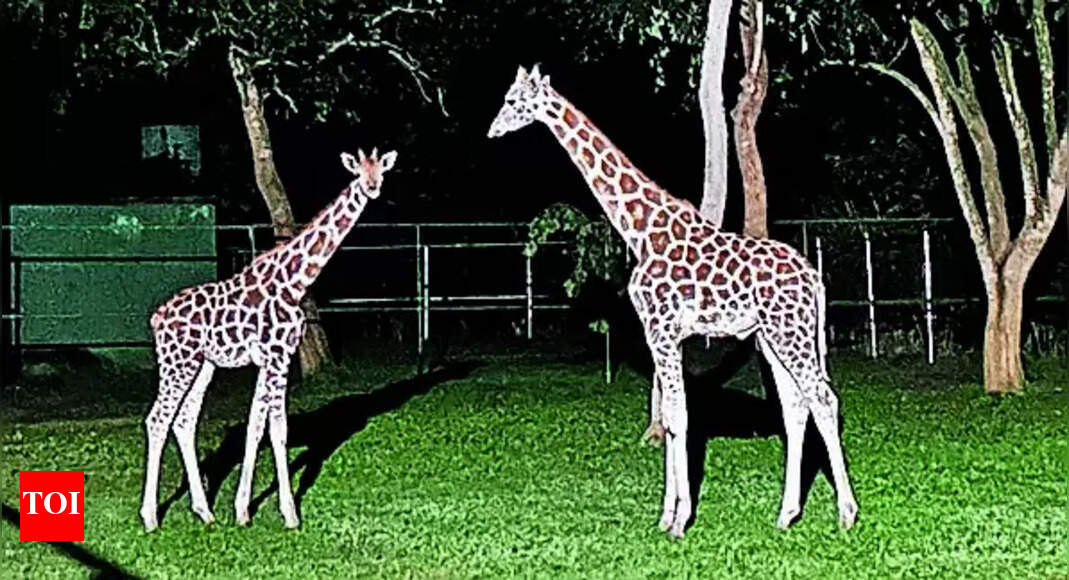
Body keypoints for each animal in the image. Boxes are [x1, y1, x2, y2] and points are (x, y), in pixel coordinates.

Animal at [140, 148, 398, 532]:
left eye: (381, 170)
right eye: (358, 171)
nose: (372, 187)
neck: (295, 282)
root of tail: (157, 318)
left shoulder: (273, 358)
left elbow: (257, 427)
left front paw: (242, 510)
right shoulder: (277, 356)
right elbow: (277, 430)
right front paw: (289, 514)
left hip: (203, 364)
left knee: (184, 421)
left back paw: (205, 512)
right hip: (177, 360)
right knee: (157, 419)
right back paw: (150, 518)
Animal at [488, 65, 857, 539]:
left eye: (513, 101)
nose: (493, 130)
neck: (640, 229)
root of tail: (814, 277)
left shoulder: (662, 328)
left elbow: (678, 418)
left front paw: (680, 520)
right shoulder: (664, 334)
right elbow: (670, 416)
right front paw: (667, 515)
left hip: (790, 331)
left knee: (824, 399)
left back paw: (846, 513)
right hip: (772, 336)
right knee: (796, 407)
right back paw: (786, 514)